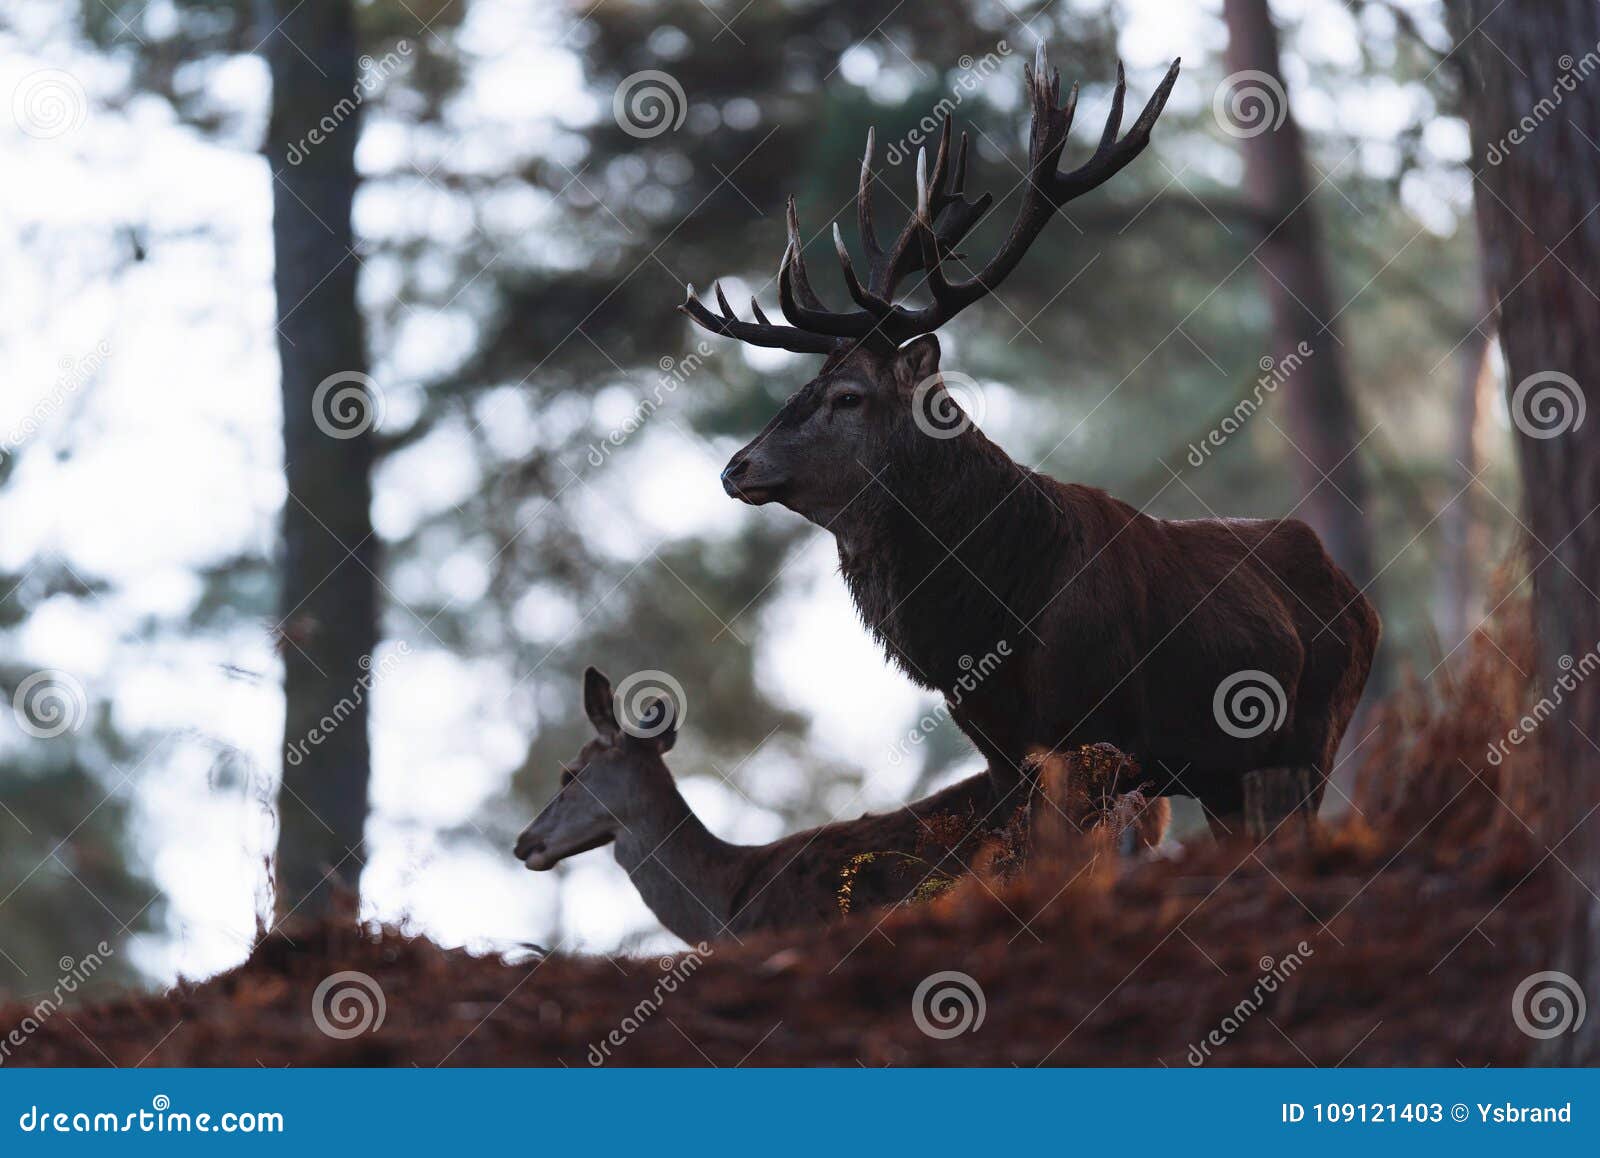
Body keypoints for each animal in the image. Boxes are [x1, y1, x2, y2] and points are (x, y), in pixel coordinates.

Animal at [679, 42, 1381, 837]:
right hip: (1227, 779)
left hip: (1314, 734)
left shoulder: (1093, 732)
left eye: (847, 394)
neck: (989, 624)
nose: (737, 468)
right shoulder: (999, 752)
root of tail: (1365, 603)